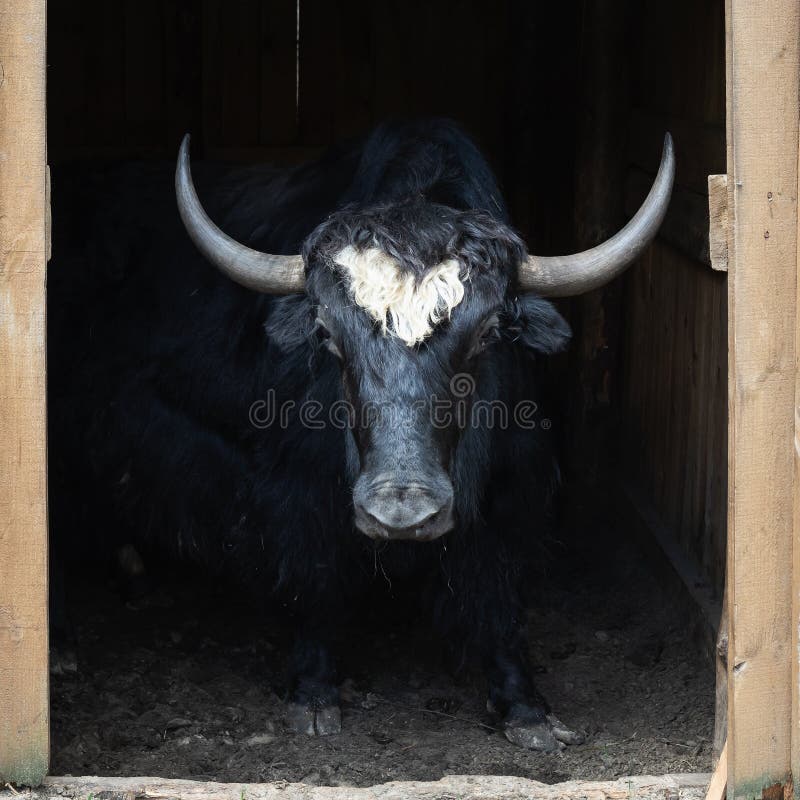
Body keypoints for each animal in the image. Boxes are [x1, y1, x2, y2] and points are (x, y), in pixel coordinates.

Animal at [49, 119, 673, 753]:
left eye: (488, 333)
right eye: (327, 333)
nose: (402, 512)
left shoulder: (510, 494)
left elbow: (498, 589)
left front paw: (526, 708)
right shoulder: (300, 491)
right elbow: (315, 581)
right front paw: (314, 696)